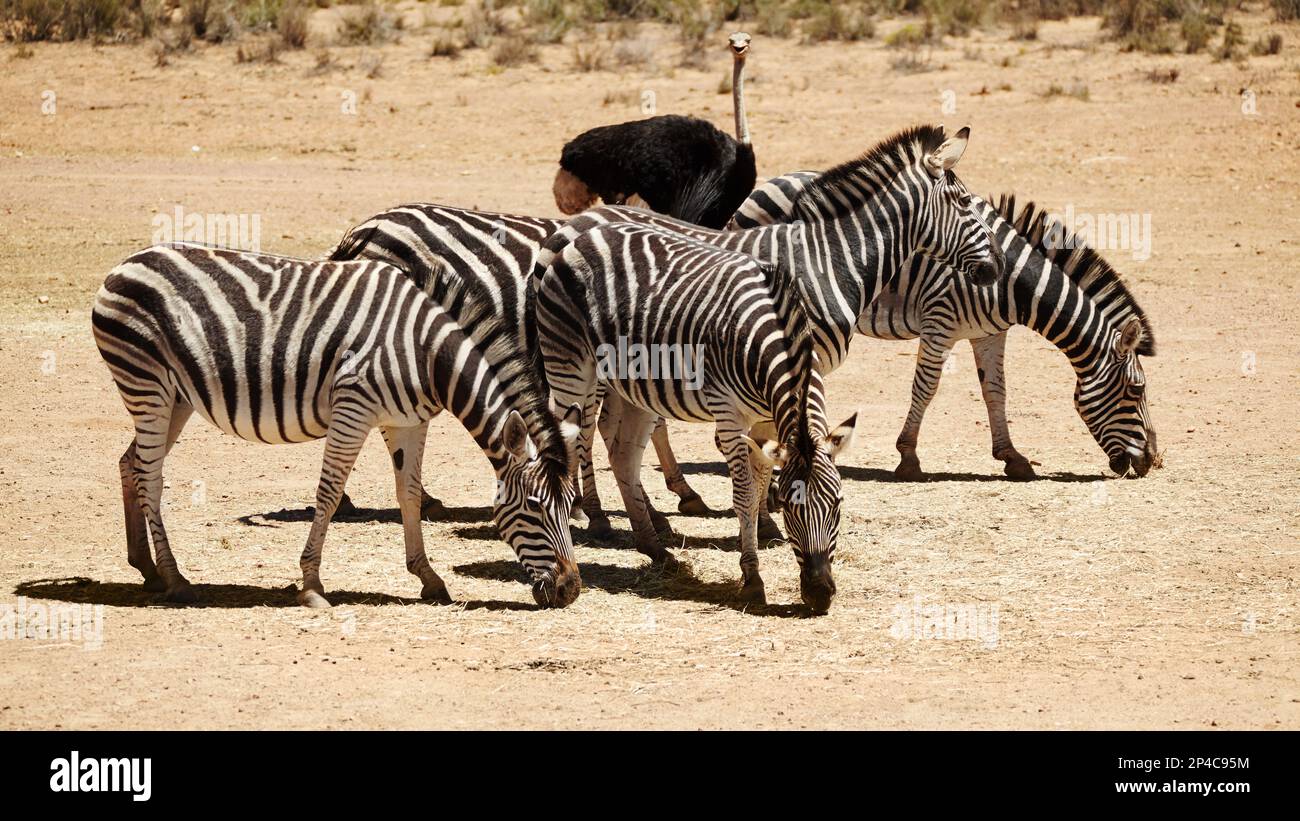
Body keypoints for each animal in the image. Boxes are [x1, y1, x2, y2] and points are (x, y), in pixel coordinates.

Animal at [92, 244, 583, 609]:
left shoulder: (408, 423)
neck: (425, 353)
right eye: (535, 507)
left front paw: (428, 578)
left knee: (130, 462)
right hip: (147, 383)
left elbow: (409, 494)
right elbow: (329, 494)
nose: (570, 590)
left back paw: (147, 569)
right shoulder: (354, 407)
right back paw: (174, 578)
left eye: (570, 506)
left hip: (176, 397)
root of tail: (126, 262)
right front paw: (311, 586)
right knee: (150, 475)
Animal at [534, 223, 856, 612]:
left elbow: (761, 486)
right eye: (791, 511)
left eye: (837, 505)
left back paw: (655, 548)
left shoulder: (767, 422)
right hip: (569, 367)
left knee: (623, 455)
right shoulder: (729, 415)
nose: (820, 593)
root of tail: (583, 236)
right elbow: (744, 495)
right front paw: (752, 578)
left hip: (635, 386)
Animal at [732, 171, 1160, 480]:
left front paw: (1012, 457)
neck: (1007, 282)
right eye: (1136, 390)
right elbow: (925, 389)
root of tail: (768, 182)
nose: (1152, 461)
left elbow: (995, 392)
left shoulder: (990, 333)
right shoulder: (940, 322)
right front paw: (908, 459)